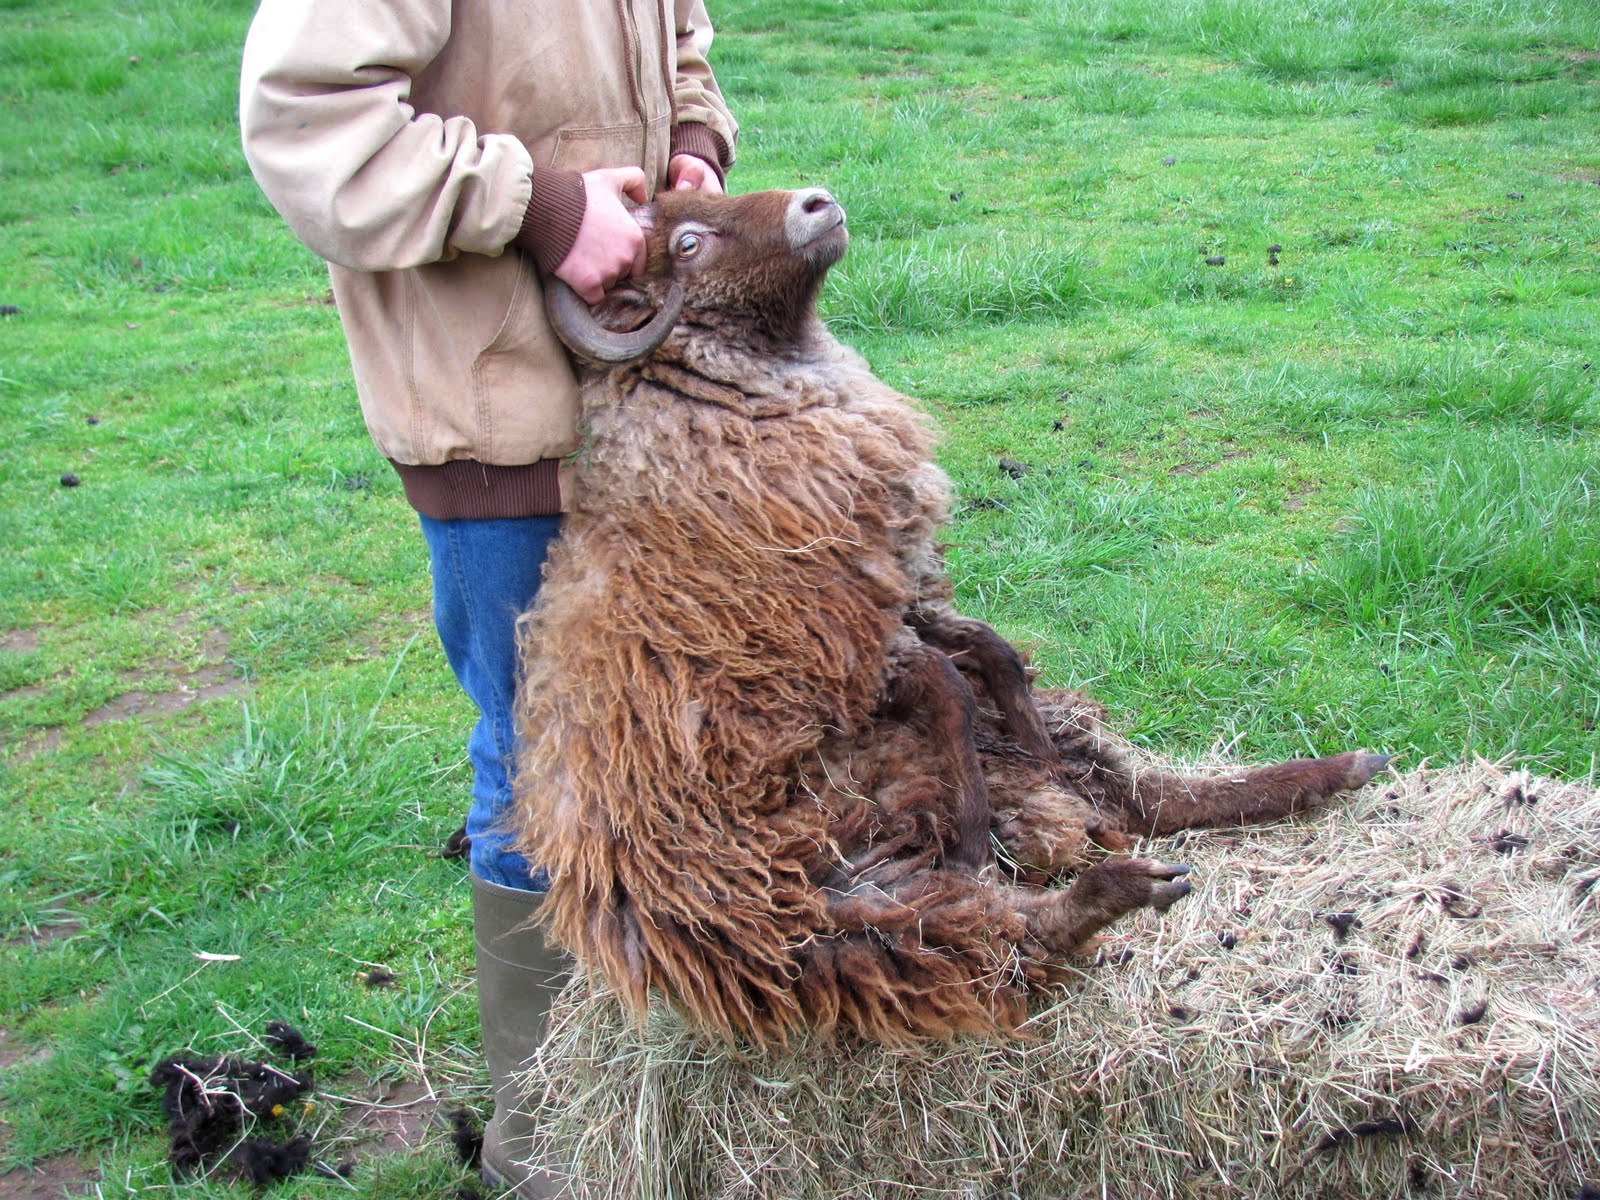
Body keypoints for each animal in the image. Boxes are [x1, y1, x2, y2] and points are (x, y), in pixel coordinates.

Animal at [511, 187, 1388, 1047]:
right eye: (688, 244)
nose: (818, 204)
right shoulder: (841, 658)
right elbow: (952, 692)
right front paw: (972, 837)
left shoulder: (900, 596)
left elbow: (993, 654)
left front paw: (1032, 748)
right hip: (823, 912)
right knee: (1001, 939)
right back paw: (1116, 884)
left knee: (1148, 799)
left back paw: (1334, 769)